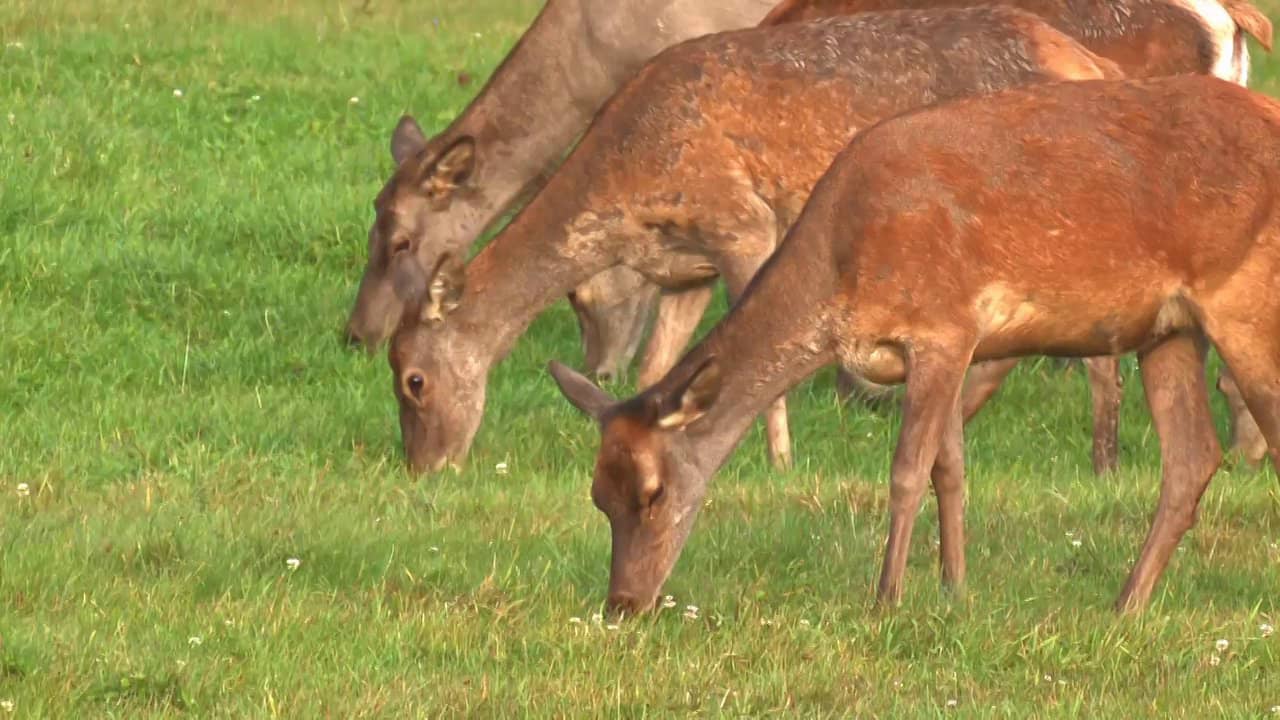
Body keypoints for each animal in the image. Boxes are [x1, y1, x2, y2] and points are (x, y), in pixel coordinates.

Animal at [384, 7, 1125, 474]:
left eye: (413, 380)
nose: (424, 465)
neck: (628, 189)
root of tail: (1093, 67)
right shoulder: (687, 264)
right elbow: (657, 369)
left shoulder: (744, 223)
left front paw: (781, 463)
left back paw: (1103, 460)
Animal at [550, 74, 1280, 615]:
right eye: (598, 495)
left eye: (653, 493)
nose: (622, 604)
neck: (842, 272)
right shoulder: (951, 345)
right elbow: (949, 467)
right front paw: (955, 589)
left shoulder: (941, 327)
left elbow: (906, 469)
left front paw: (887, 599)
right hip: (1169, 328)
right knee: (1192, 457)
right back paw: (1125, 604)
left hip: (1244, 299)